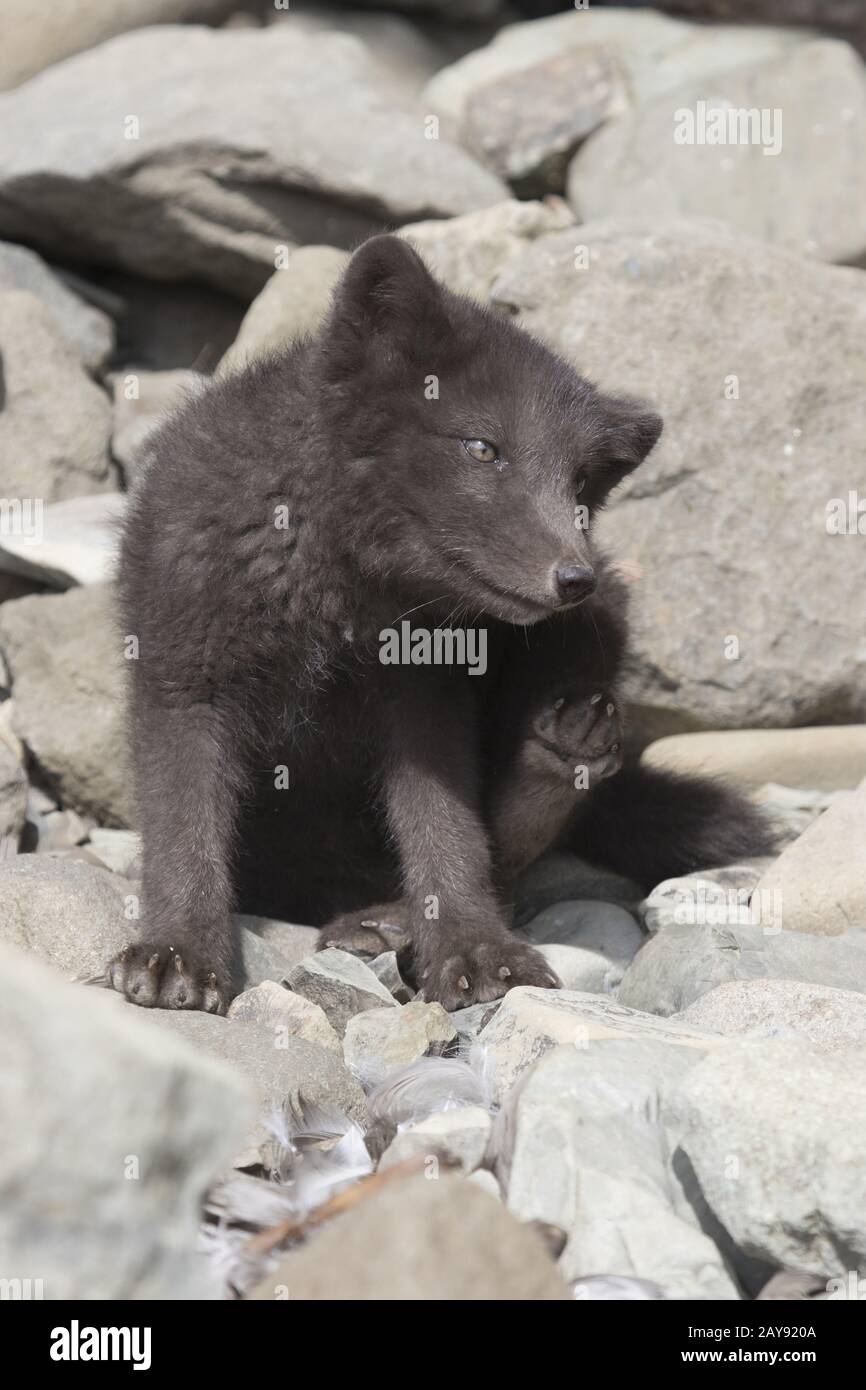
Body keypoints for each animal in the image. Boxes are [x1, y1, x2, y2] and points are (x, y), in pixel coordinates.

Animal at [108, 233, 773, 1015]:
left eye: (581, 486)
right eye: (482, 449)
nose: (573, 579)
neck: (340, 593)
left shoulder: (425, 697)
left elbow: (447, 830)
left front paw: (473, 948)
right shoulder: (184, 680)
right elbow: (184, 829)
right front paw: (177, 954)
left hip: (603, 615)